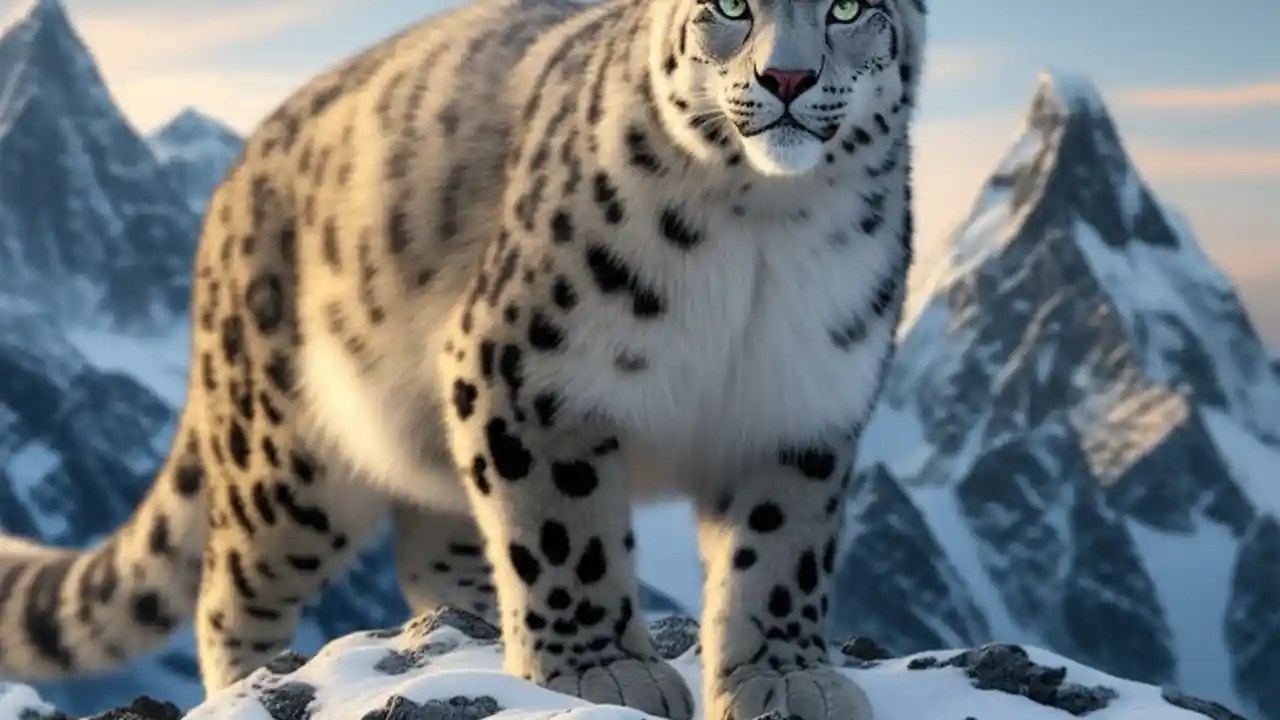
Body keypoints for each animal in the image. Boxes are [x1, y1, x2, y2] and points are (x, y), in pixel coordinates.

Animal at [0, 0, 924, 717]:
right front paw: (601, 671)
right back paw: (251, 683)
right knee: (235, 590)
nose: (786, 79)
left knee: (438, 547)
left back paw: (472, 628)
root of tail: (233, 181)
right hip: (284, 461)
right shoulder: (530, 373)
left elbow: (779, 548)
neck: (766, 229)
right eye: (730, 7)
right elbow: (564, 530)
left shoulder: (802, 401)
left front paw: (786, 678)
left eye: (849, 9)